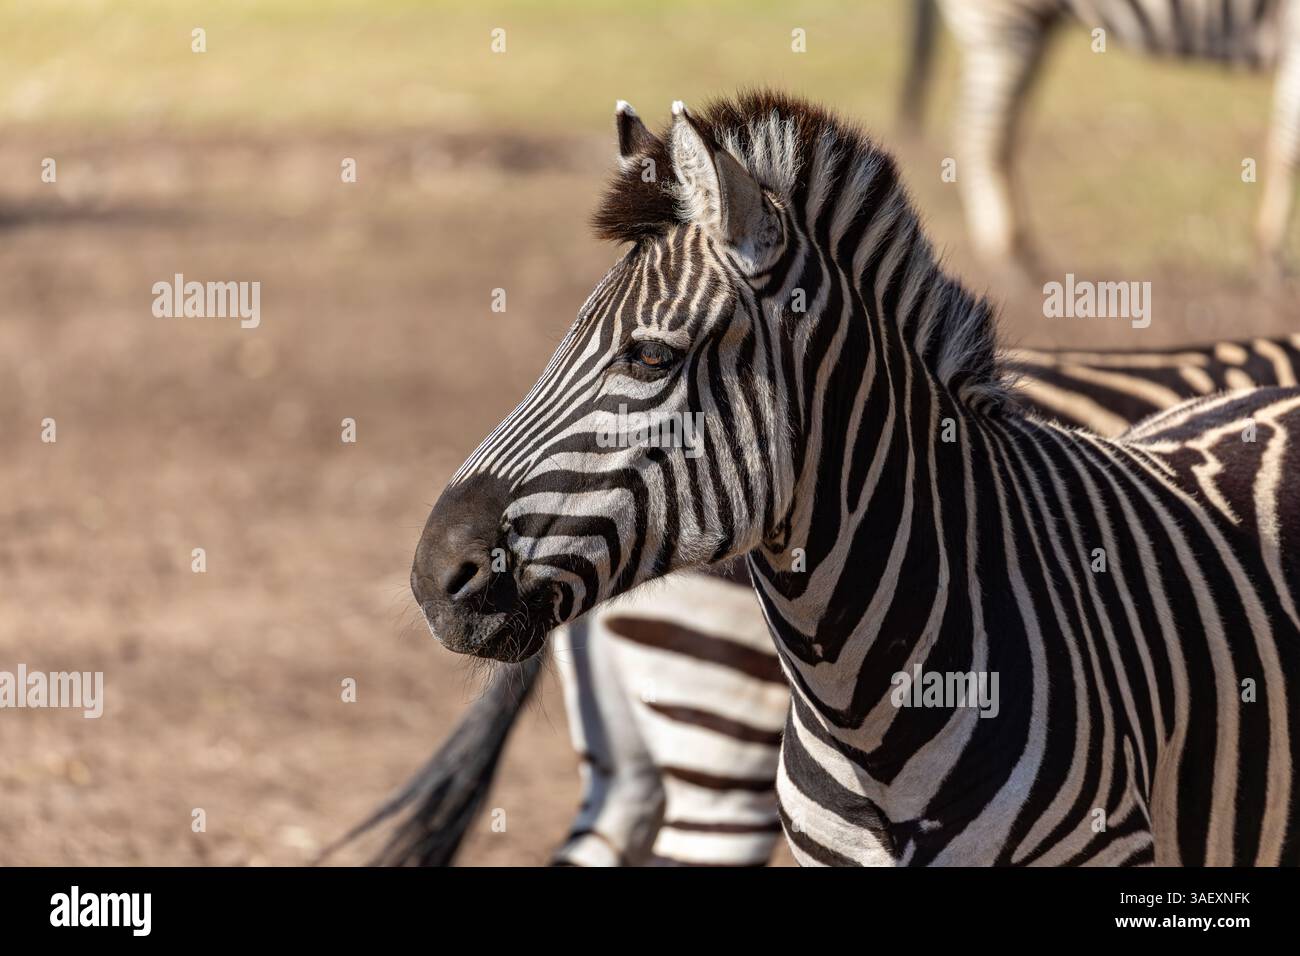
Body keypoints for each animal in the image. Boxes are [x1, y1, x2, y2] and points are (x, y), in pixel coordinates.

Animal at [913, 0, 1300, 272]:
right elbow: (1288, 150)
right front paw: (1270, 255)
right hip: (1003, 20)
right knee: (979, 132)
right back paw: (1008, 256)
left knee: (998, 130)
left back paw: (1019, 248)